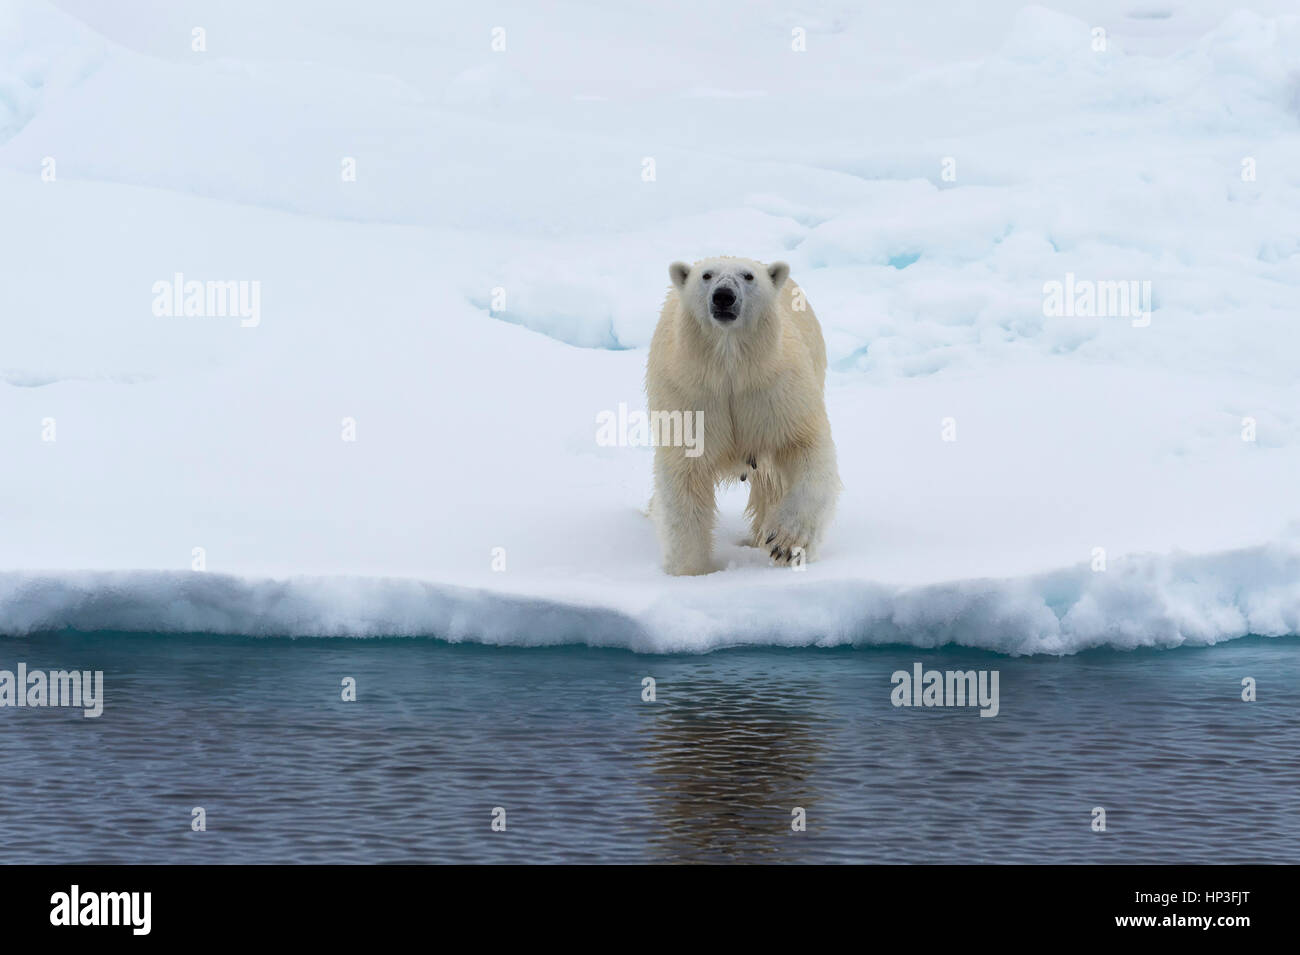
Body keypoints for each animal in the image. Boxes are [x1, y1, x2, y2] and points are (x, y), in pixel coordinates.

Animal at [646, 256, 841, 575]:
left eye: (748, 276)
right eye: (706, 275)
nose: (724, 296)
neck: (730, 367)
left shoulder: (776, 389)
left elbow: (805, 446)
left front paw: (784, 543)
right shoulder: (691, 394)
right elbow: (685, 477)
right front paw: (690, 571)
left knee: (772, 482)